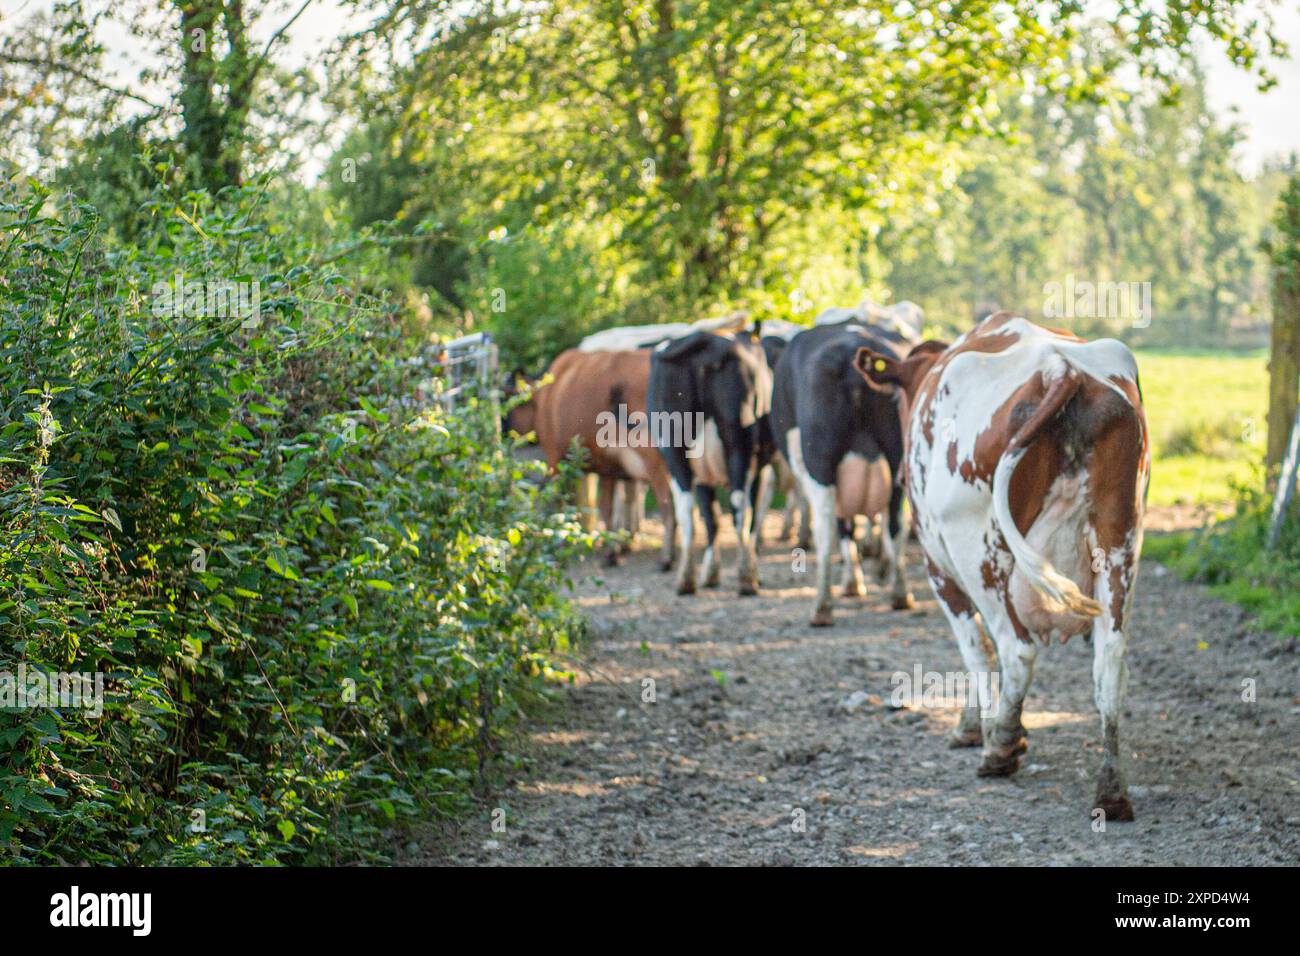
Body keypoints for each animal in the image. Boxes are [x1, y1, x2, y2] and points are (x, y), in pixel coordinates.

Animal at [504, 349, 676, 569]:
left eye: (508, 401)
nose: (503, 427)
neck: (546, 396)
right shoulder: (611, 469)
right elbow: (613, 507)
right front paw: (616, 549)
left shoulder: (556, 460)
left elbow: (566, 505)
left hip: (656, 461)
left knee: (668, 505)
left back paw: (666, 558)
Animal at [648, 331, 772, 595]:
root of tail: (706, 340)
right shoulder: (761, 467)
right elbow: (754, 514)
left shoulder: (703, 475)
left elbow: (710, 516)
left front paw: (710, 574)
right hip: (740, 445)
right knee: (741, 510)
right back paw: (747, 578)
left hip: (674, 449)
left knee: (687, 510)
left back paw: (686, 580)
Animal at [772, 321, 916, 626]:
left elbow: (844, 527)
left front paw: (852, 582)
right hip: (897, 457)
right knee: (896, 523)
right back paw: (901, 594)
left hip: (820, 462)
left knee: (826, 528)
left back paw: (821, 607)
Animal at [854, 312, 1150, 821]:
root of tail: (1060, 369)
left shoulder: (937, 565)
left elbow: (974, 648)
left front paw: (976, 728)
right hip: (1120, 543)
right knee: (1110, 663)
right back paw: (1111, 789)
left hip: (979, 553)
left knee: (1013, 648)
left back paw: (1001, 748)